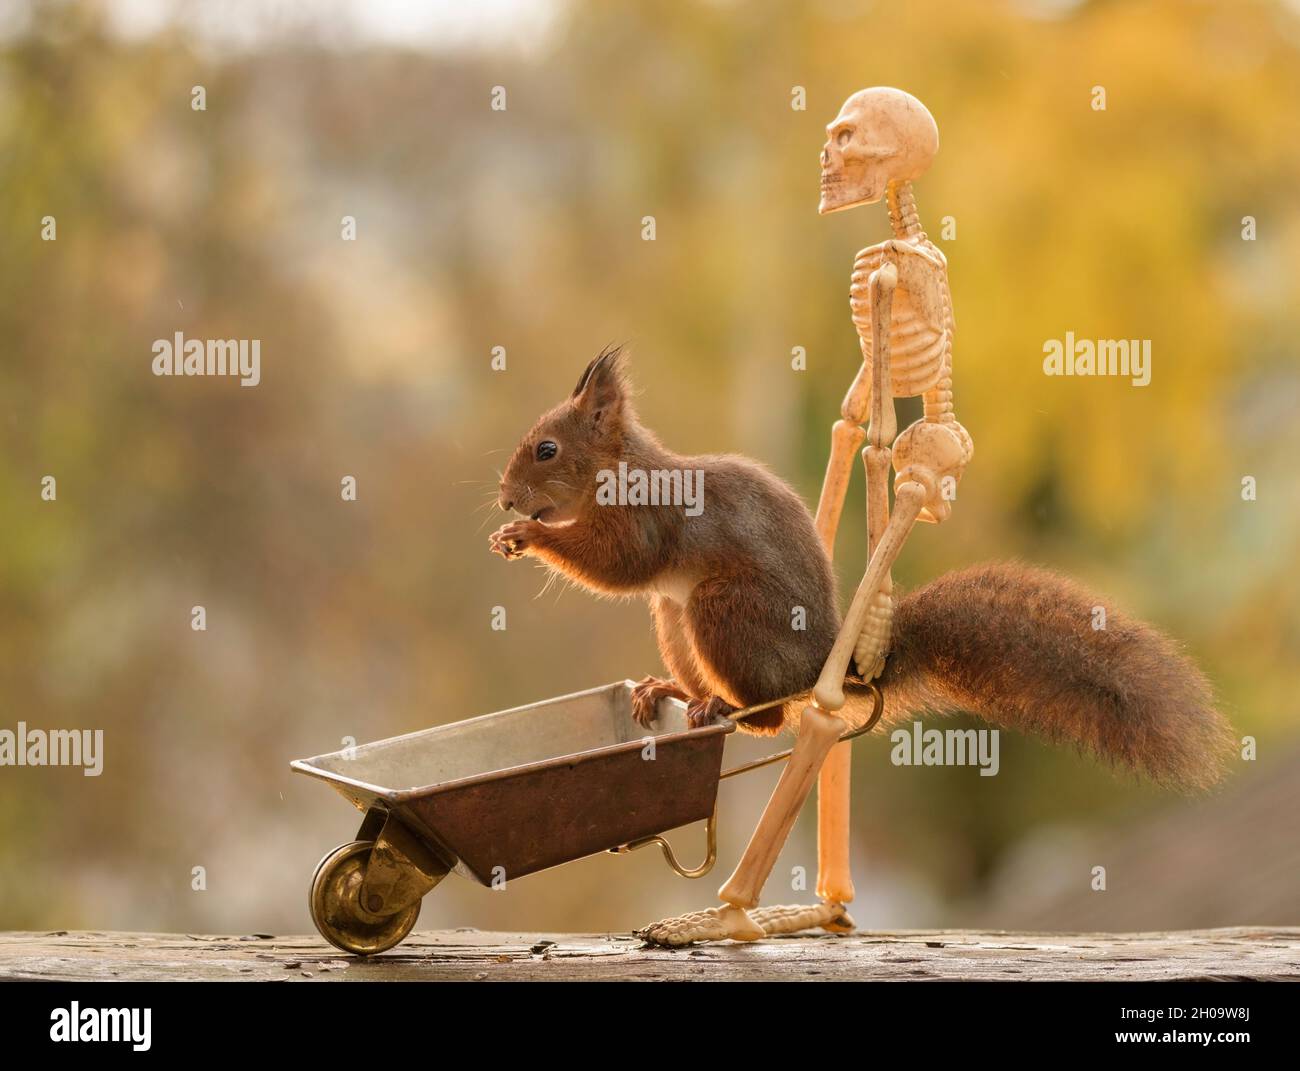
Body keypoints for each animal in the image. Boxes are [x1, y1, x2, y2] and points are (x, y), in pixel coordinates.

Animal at [490, 346, 1233, 790]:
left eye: (547, 449)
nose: (504, 497)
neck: (618, 472)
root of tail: (825, 660)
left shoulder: (646, 520)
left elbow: (617, 563)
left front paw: (527, 533)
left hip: (719, 609)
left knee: (771, 717)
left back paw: (719, 707)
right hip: (673, 617)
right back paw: (668, 690)